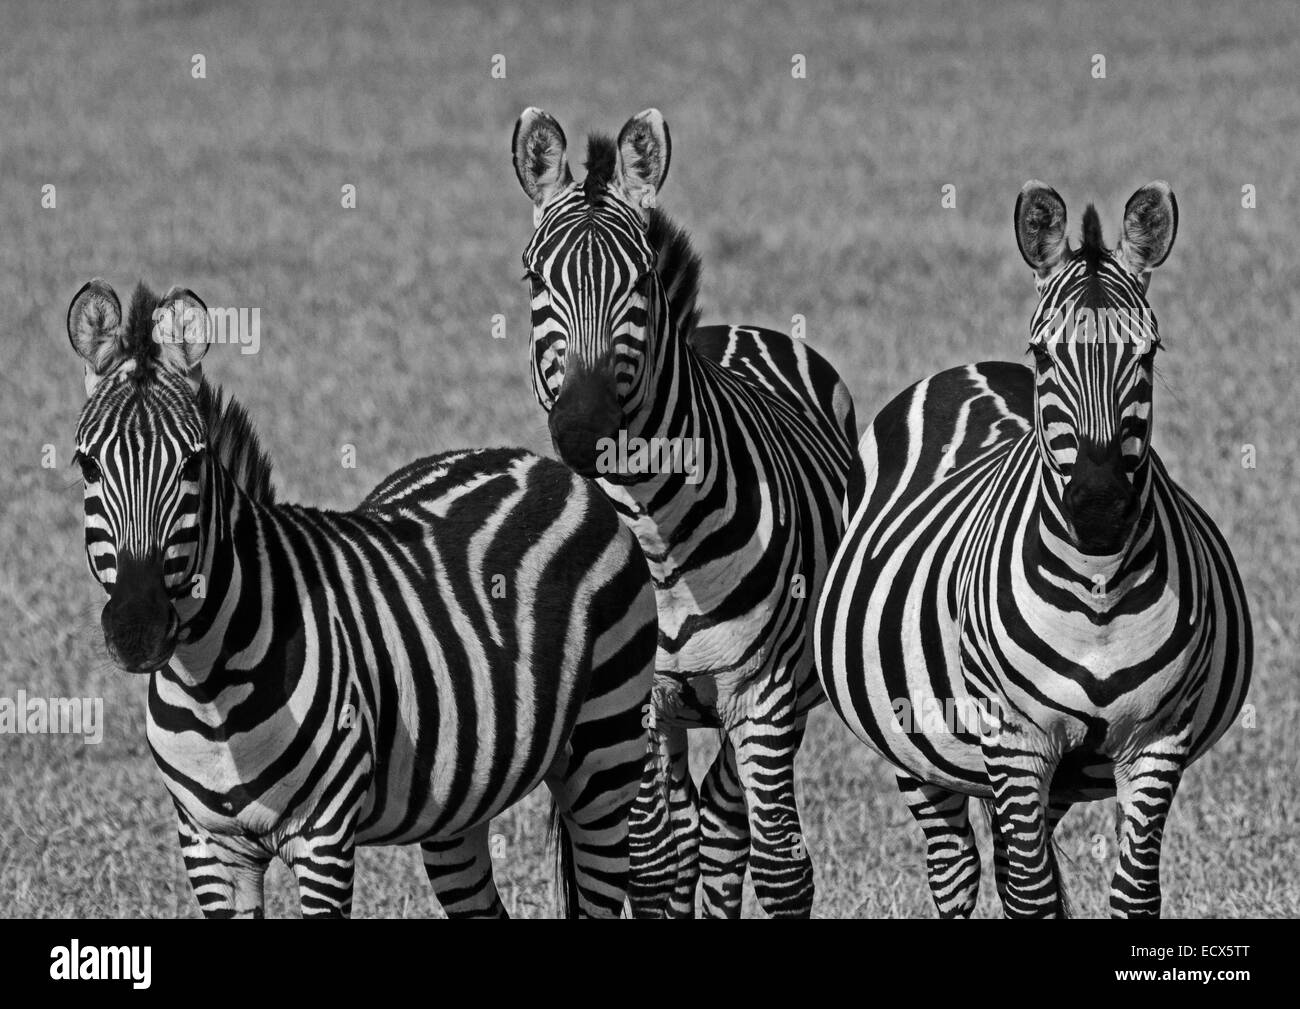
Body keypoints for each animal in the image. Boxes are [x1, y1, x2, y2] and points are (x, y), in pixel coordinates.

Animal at [67, 278, 665, 918]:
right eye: (86, 464)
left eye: (193, 462)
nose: (137, 630)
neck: (209, 685)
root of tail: (543, 464)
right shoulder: (207, 845)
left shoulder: (324, 837)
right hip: (460, 797)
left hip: (605, 753)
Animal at [511, 108, 858, 917]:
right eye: (535, 278)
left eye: (638, 280)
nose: (584, 430)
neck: (657, 540)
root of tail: (729, 328)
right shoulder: (638, 702)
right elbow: (649, 867)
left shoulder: (764, 698)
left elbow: (782, 870)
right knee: (691, 840)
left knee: (726, 830)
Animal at [814, 181, 1252, 917]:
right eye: (1045, 354)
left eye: (1149, 354)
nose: (1099, 510)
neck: (1098, 590)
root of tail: (972, 368)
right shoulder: (1015, 737)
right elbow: (1032, 896)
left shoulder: (1158, 740)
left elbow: (1129, 894)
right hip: (915, 748)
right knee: (956, 868)